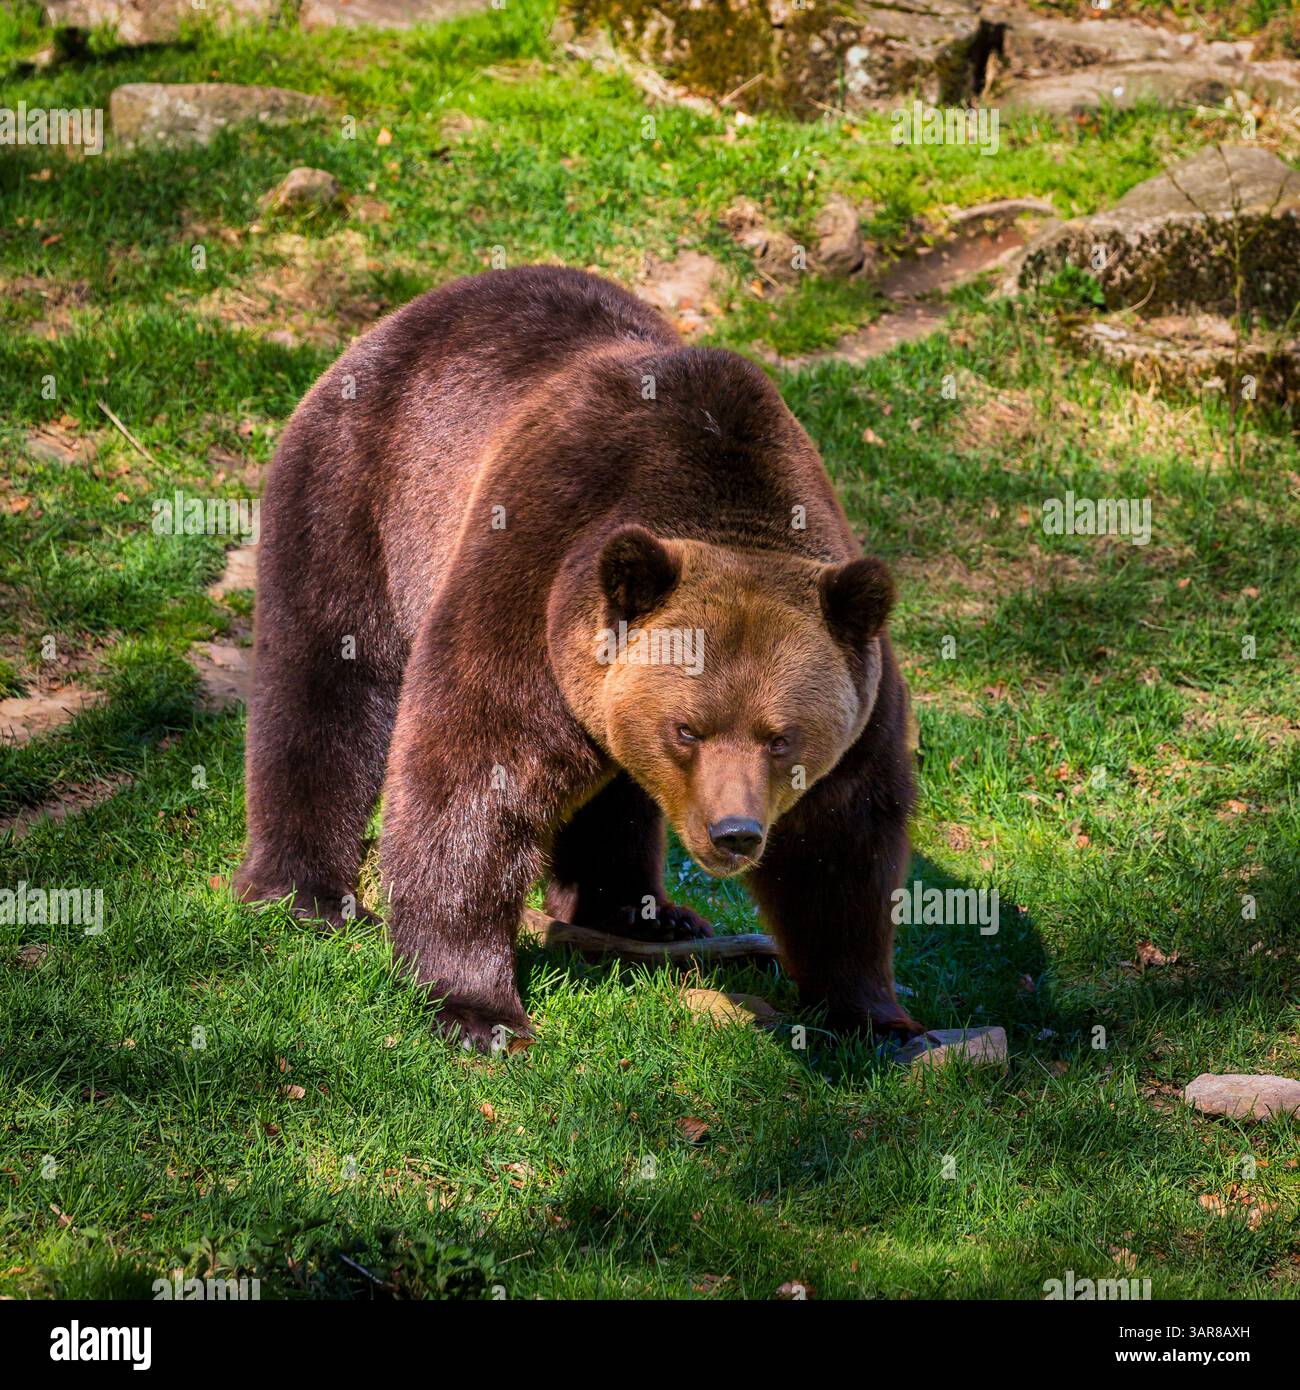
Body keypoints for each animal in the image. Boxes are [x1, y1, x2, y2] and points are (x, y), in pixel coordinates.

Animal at [234, 265, 923, 1051]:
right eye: (687, 730)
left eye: (781, 738)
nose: (734, 832)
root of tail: (411, 311)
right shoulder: (537, 575)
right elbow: (472, 772)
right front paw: (479, 1009)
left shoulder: (858, 693)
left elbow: (842, 842)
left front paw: (878, 1016)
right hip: (359, 496)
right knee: (323, 679)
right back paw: (304, 892)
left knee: (616, 800)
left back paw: (644, 914)